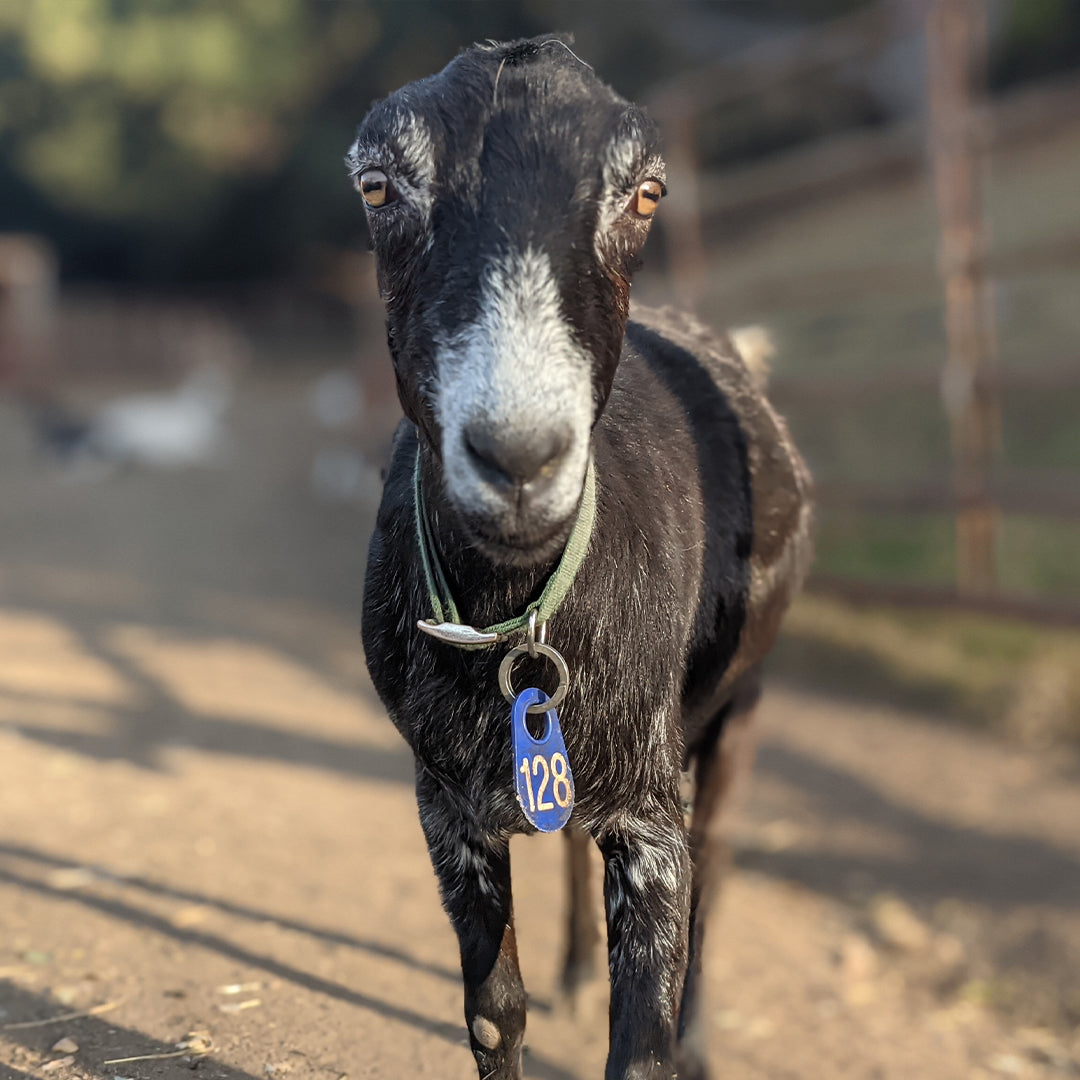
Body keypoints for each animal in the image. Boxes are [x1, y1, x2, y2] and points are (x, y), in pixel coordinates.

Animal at [352, 36, 812, 1080]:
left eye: (647, 193)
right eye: (376, 186)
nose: (519, 454)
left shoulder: (650, 816)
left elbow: (640, 1044)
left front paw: (670, 1036)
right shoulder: (445, 801)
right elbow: (493, 1010)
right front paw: (542, 986)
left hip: (741, 705)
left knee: (721, 857)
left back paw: (704, 1035)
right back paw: (570, 969)